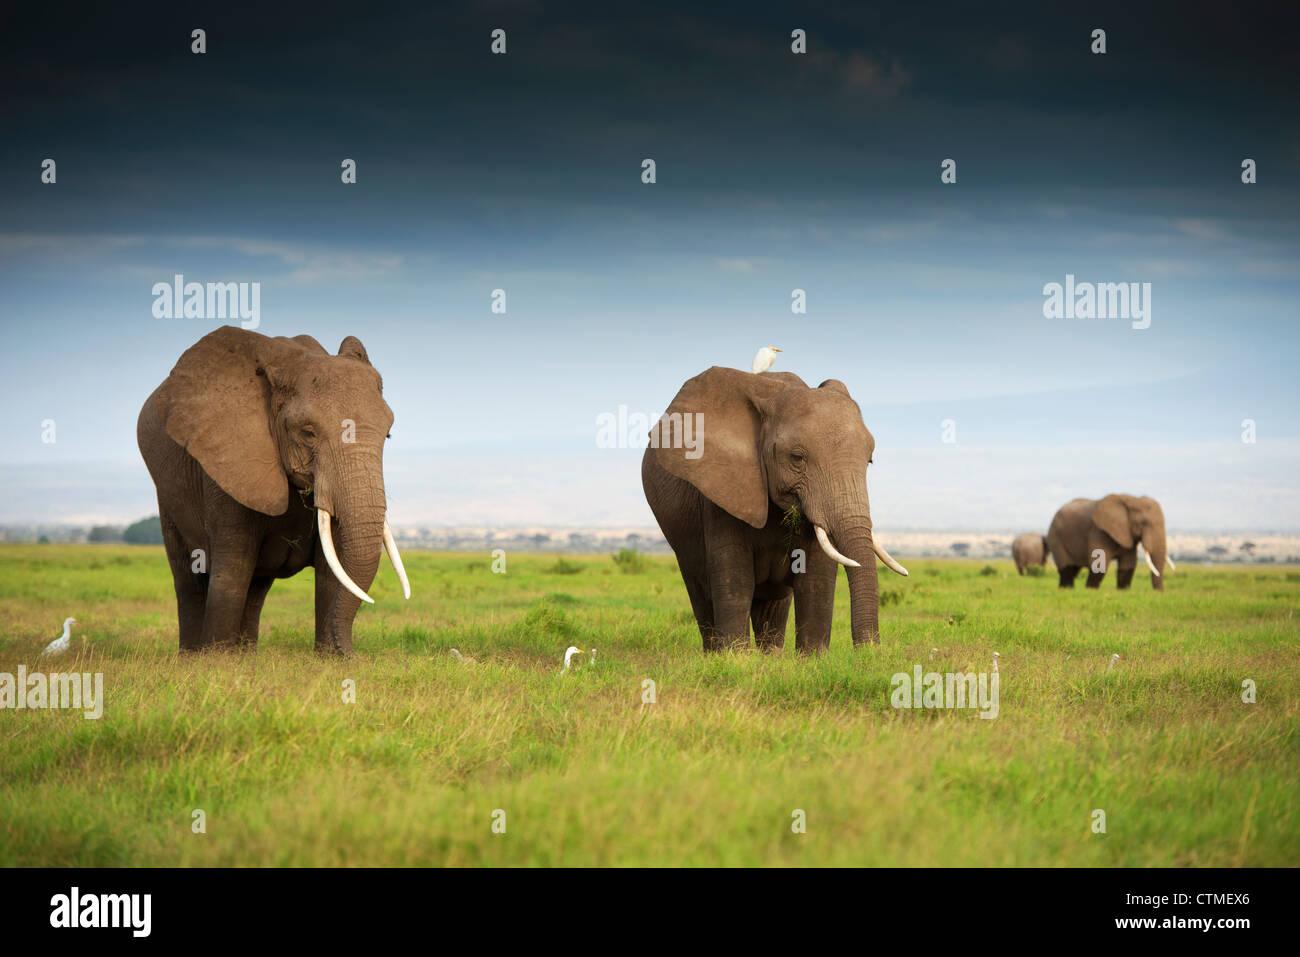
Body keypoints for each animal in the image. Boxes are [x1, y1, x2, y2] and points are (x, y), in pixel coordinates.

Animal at [136, 326, 410, 655]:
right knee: (189, 577)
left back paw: (246, 656)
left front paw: (330, 659)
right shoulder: (227, 460)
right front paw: (217, 660)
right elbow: (233, 568)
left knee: (257, 584)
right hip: (168, 494)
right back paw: (193, 657)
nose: (353, 655)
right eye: (308, 432)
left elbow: (333, 569)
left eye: (388, 434)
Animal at [641, 366, 908, 653]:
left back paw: (771, 656)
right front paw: (736, 657)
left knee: (772, 603)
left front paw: (813, 658)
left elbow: (816, 581)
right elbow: (736, 581)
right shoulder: (720, 488)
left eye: (869, 461)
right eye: (797, 458)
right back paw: (714, 652)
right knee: (701, 592)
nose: (870, 651)